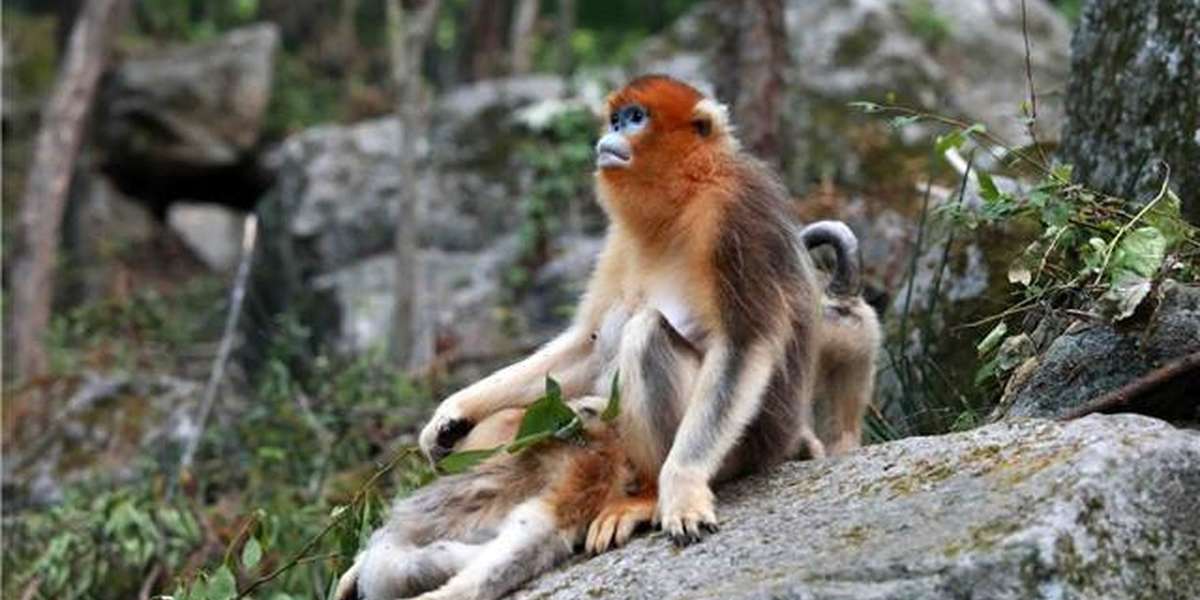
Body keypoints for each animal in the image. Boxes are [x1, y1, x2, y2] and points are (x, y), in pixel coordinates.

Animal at [418, 75, 827, 546]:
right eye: (615, 119)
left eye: (635, 118)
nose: (609, 135)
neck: (688, 192)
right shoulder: (621, 238)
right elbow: (589, 343)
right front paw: (450, 415)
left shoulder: (736, 215)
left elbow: (744, 345)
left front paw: (683, 488)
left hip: (742, 450)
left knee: (645, 331)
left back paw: (647, 496)